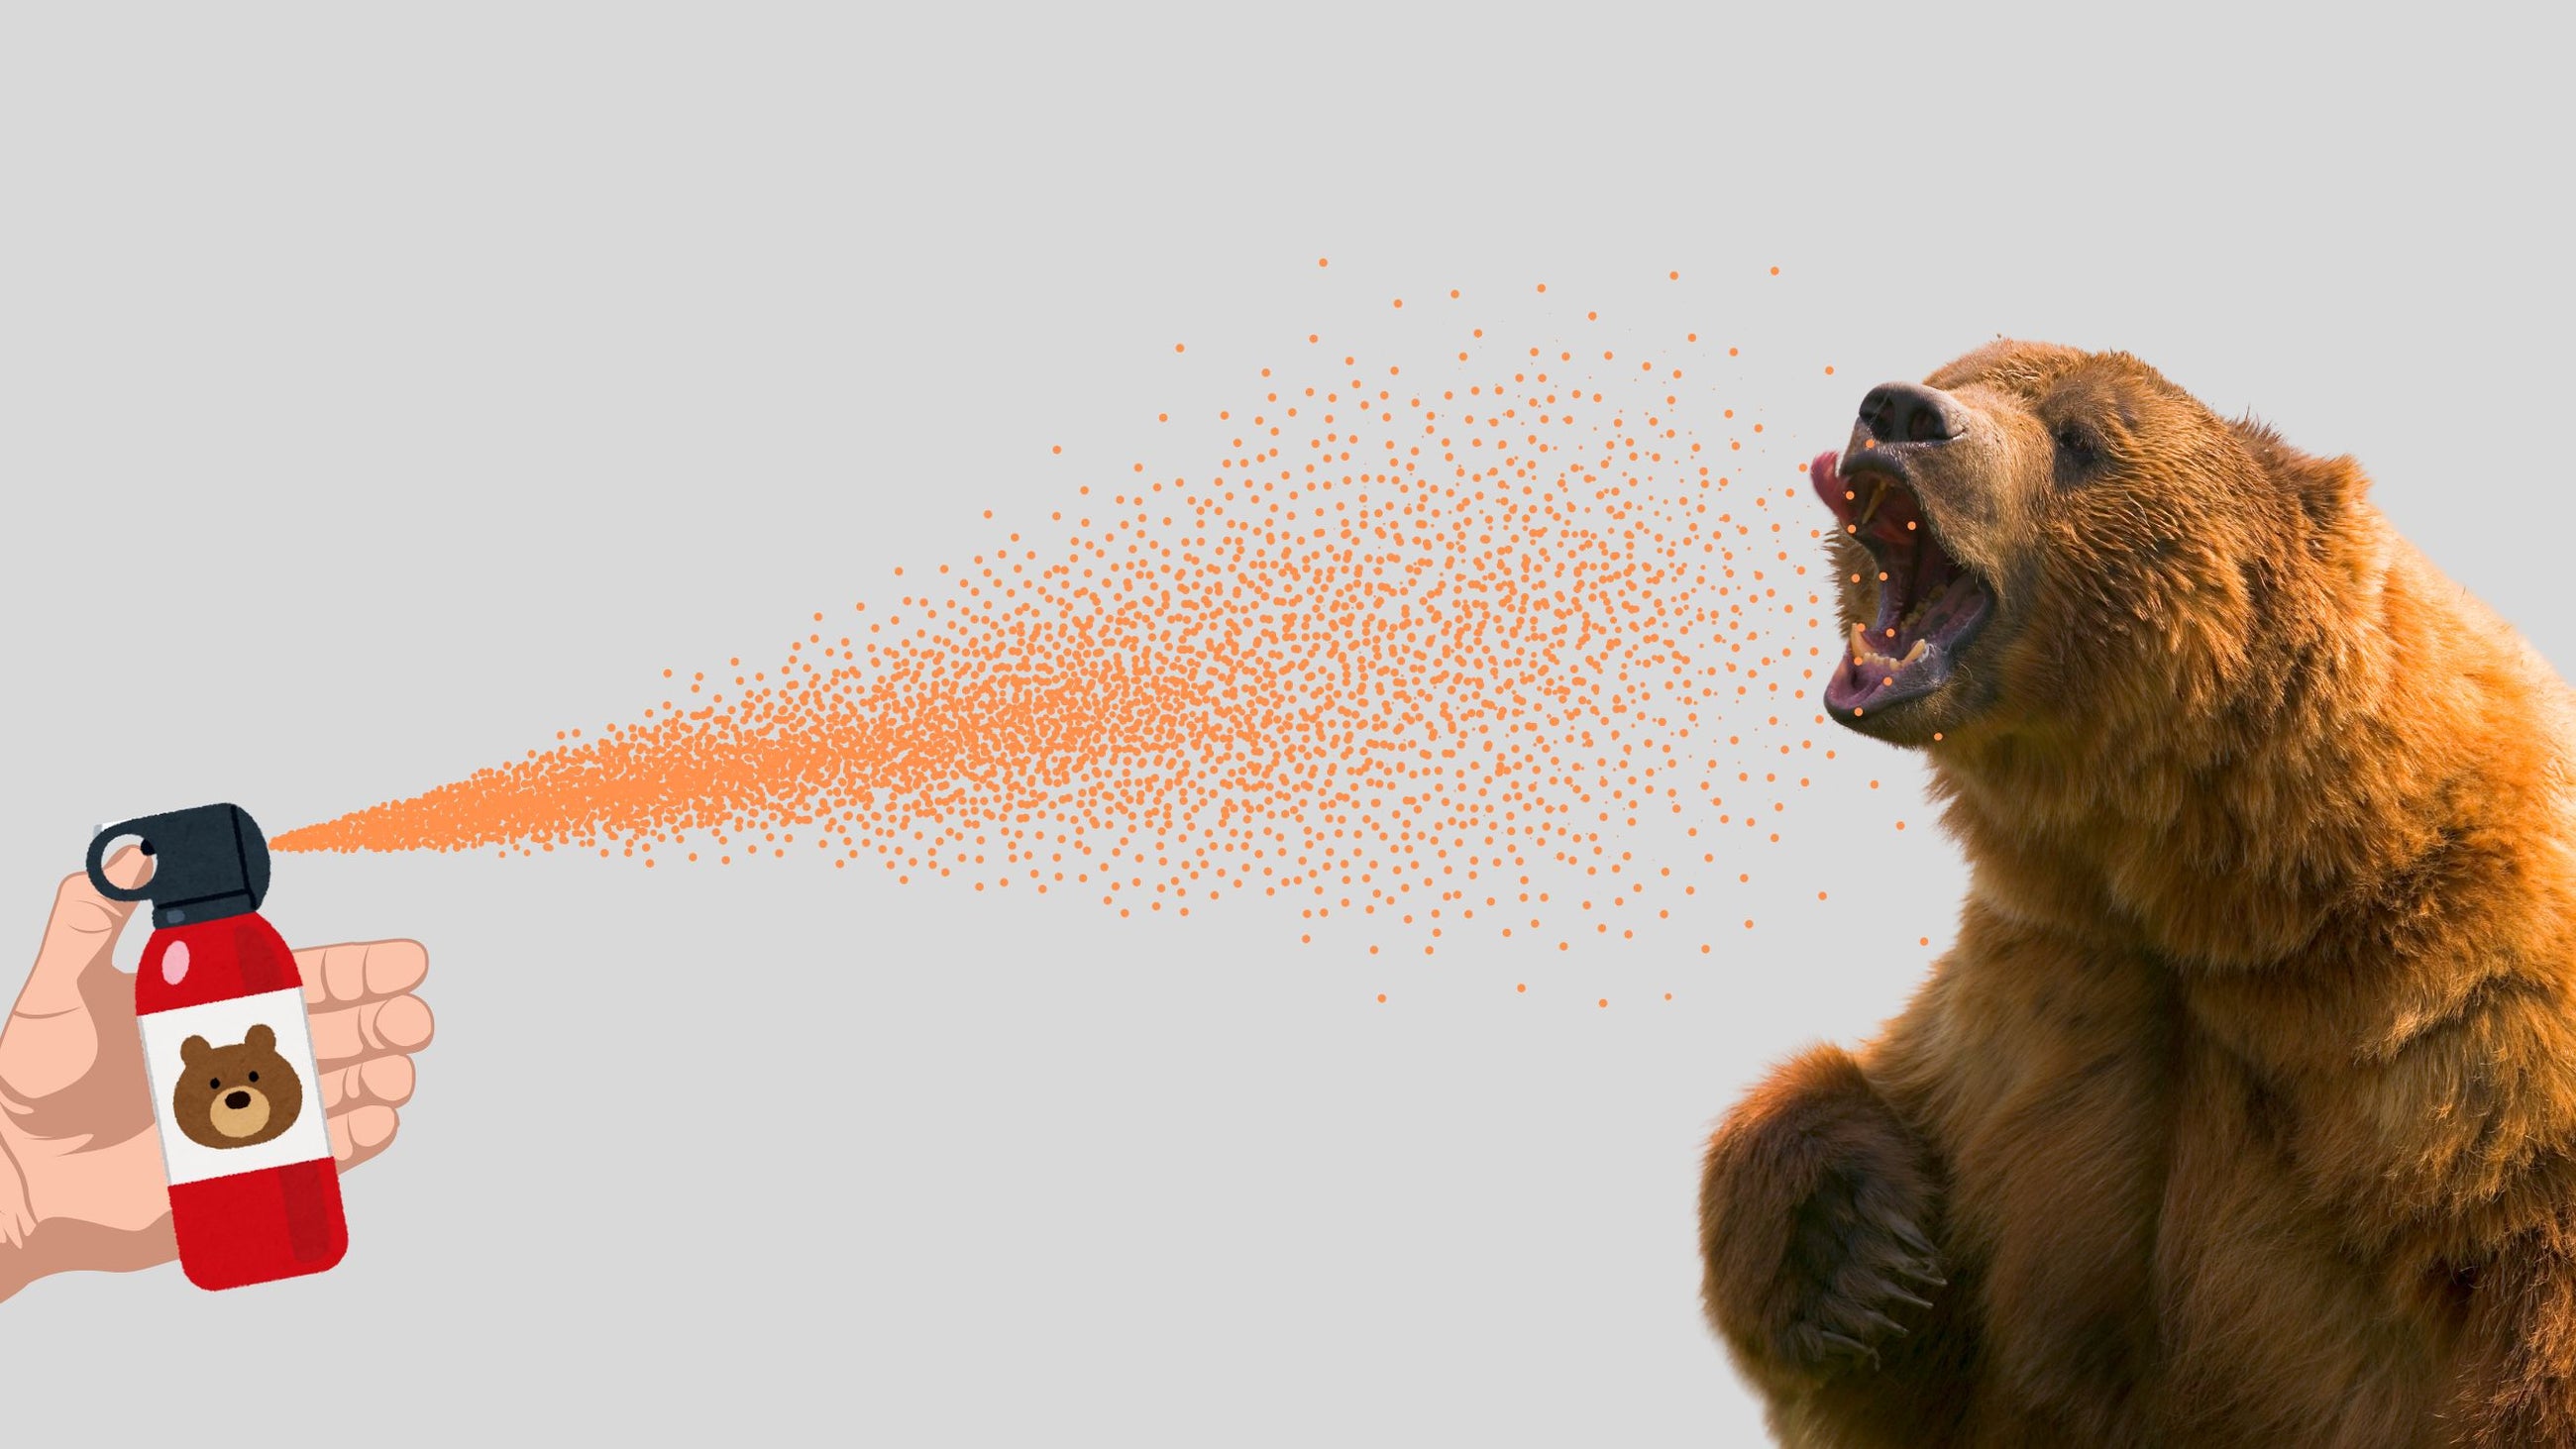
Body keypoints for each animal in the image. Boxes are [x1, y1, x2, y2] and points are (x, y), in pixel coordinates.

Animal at [1698, 341, 2576, 1447]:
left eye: (2081, 439)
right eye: (1960, 369)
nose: (1898, 412)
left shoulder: (2460, 1029)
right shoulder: (2052, 989)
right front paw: (1853, 1240)